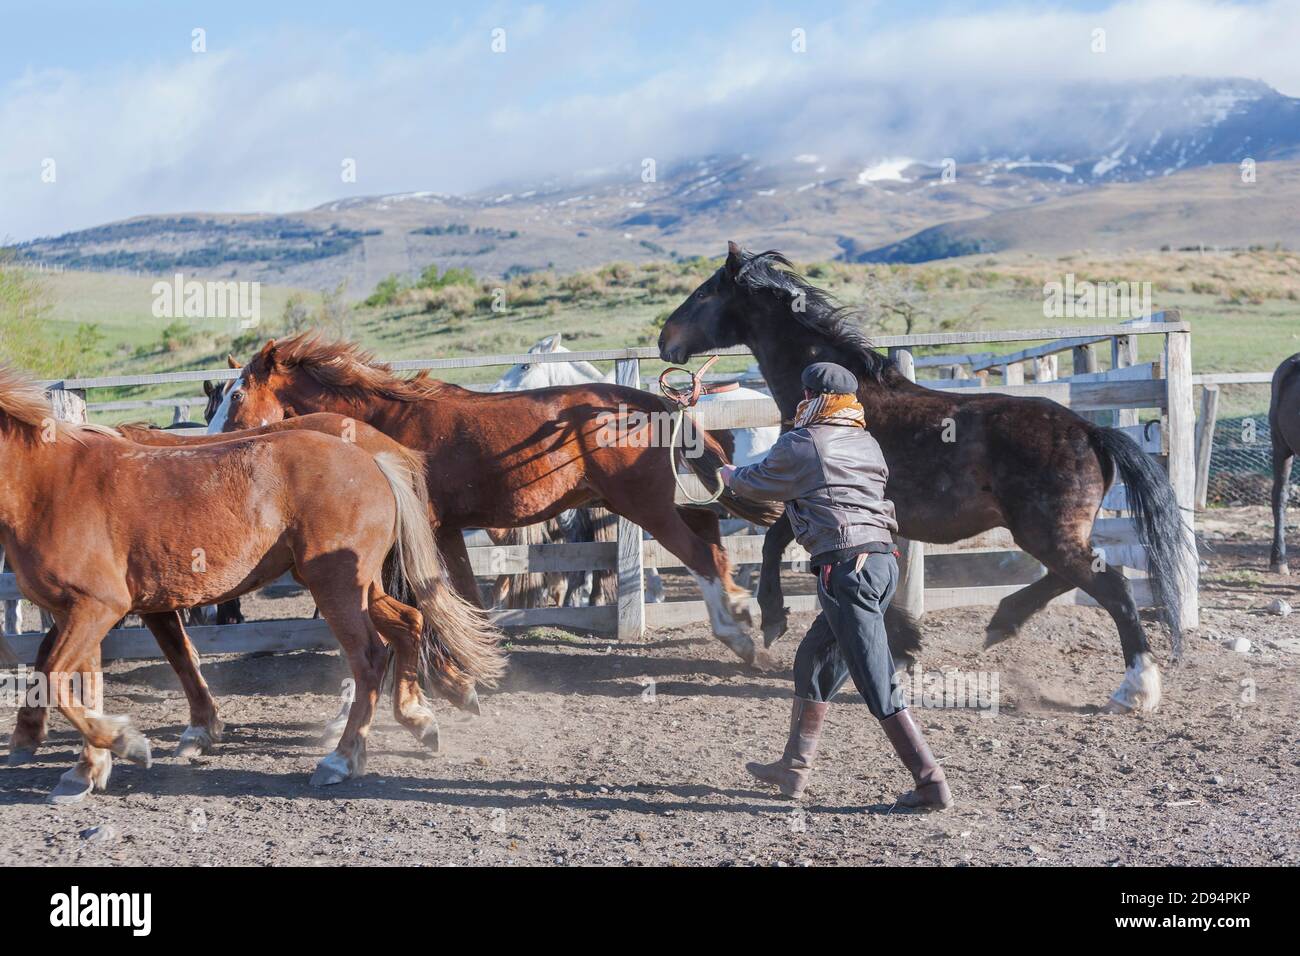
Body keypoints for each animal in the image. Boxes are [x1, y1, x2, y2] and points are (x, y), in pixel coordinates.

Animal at [0, 366, 504, 802]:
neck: (52, 484)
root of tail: (374, 457)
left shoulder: (101, 607)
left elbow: (59, 672)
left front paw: (126, 743)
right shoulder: (80, 609)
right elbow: (79, 677)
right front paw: (82, 765)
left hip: (336, 585)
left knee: (369, 658)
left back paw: (342, 759)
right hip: (358, 585)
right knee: (408, 623)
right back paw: (419, 719)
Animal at [209, 333, 785, 668]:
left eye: (235, 395)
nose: (211, 442)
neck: (387, 421)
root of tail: (660, 404)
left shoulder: (426, 528)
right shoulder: (446, 529)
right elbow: (463, 592)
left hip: (644, 504)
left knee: (699, 551)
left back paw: (740, 634)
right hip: (646, 502)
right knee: (708, 530)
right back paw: (742, 618)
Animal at [658, 243, 1194, 713]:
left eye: (704, 294)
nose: (666, 339)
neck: (838, 400)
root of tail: (1091, 431)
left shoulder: (816, 499)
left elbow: (773, 545)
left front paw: (773, 620)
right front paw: (904, 645)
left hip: (1046, 532)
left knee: (1112, 585)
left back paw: (1135, 690)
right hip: (1051, 533)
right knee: (1076, 576)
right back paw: (1002, 623)